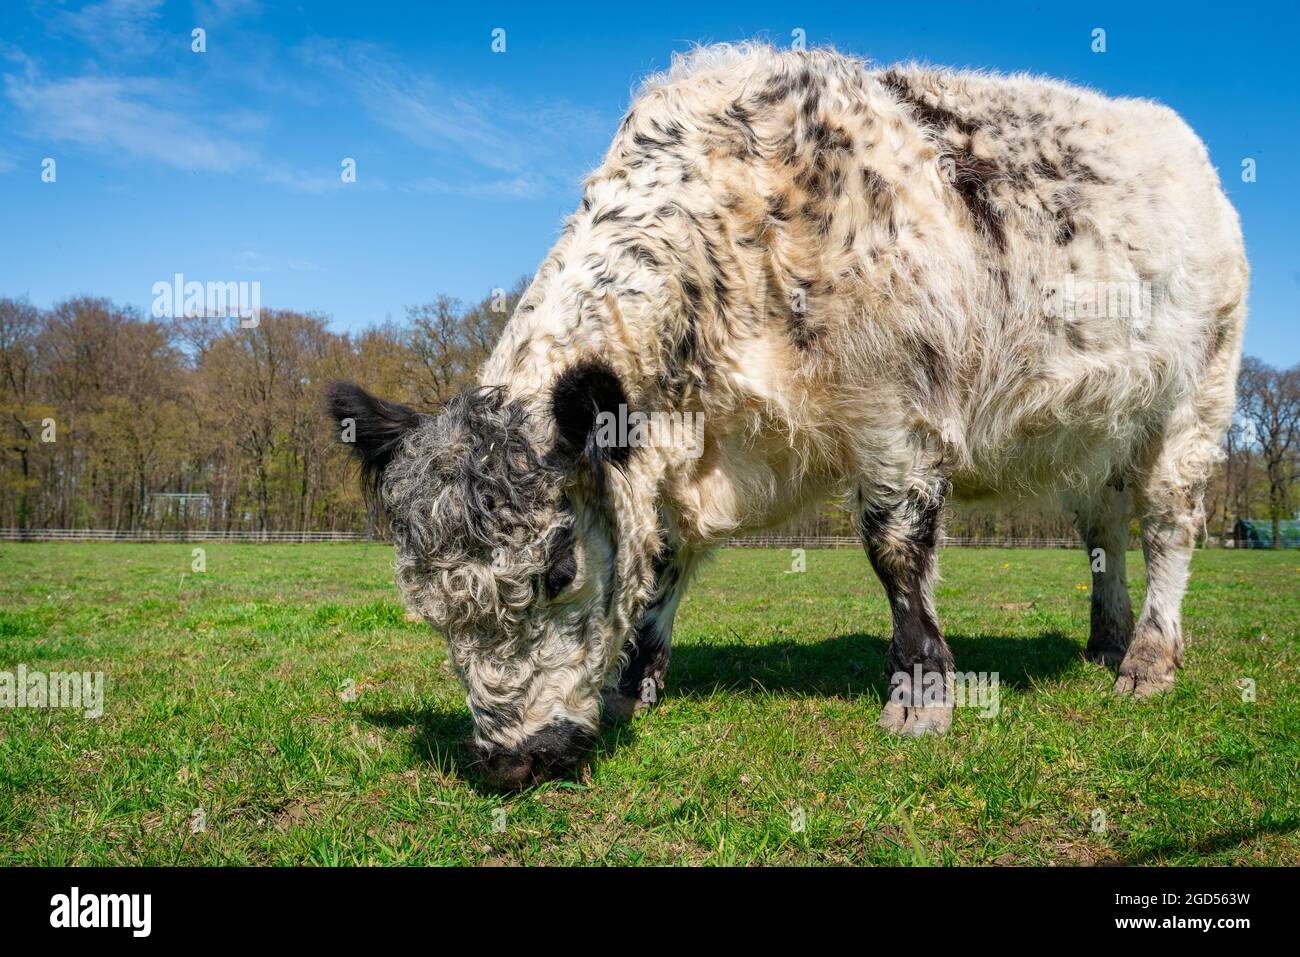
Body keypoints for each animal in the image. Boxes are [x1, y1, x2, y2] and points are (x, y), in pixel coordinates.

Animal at [327, 44, 1248, 789]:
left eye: (558, 570)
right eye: (425, 602)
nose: (515, 759)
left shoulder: (896, 414)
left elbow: (895, 552)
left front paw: (921, 692)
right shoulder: (676, 455)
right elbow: (663, 558)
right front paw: (634, 683)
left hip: (1195, 397)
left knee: (1170, 523)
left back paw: (1149, 658)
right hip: (1098, 435)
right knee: (1104, 531)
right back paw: (1106, 641)